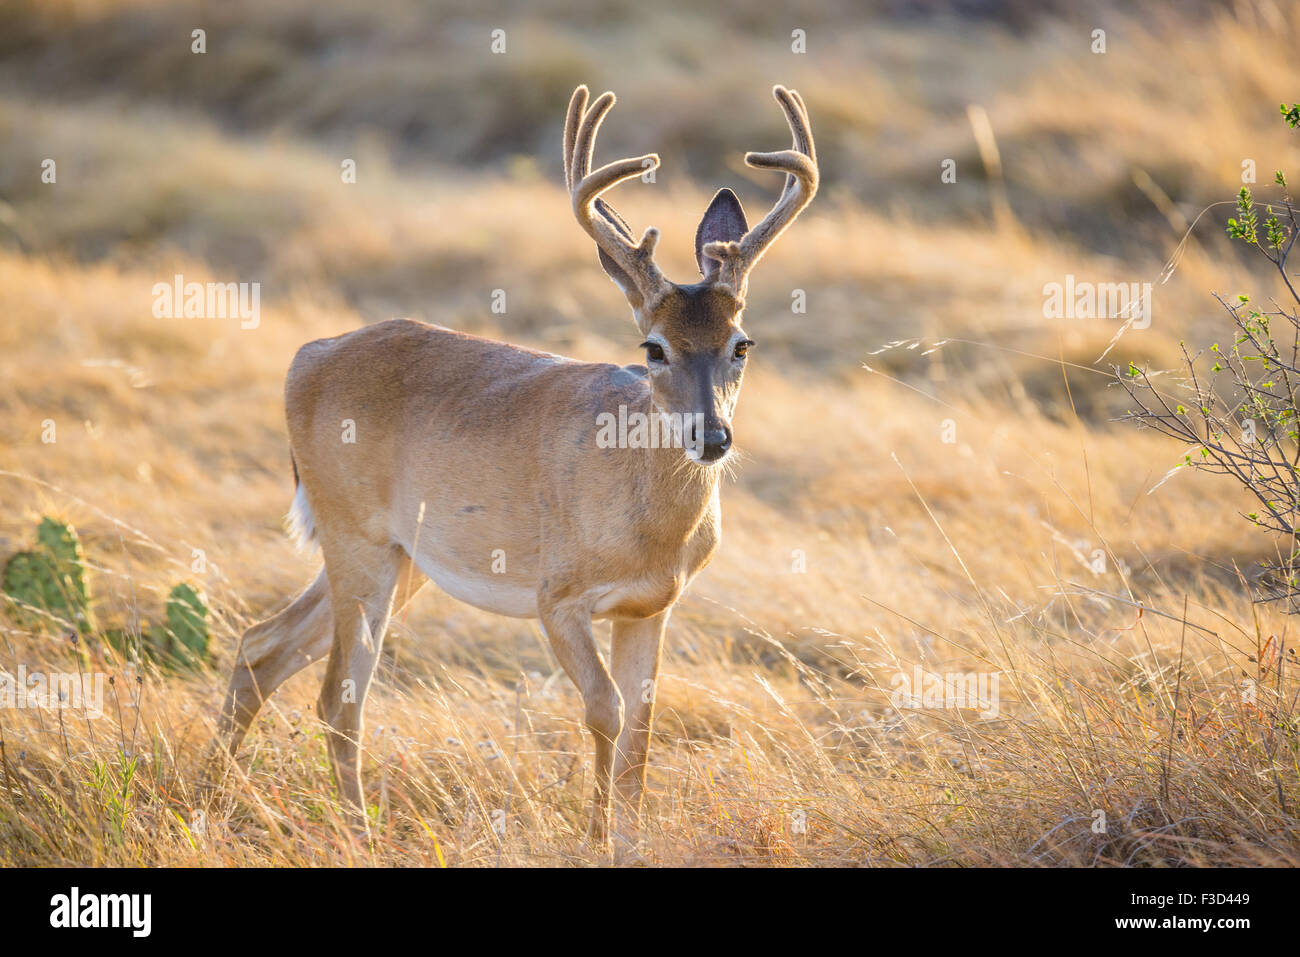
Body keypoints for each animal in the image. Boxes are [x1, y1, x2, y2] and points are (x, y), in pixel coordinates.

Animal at [210, 83, 818, 847]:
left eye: (742, 343)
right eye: (652, 348)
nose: (712, 436)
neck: (647, 521)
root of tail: (305, 357)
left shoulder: (654, 604)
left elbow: (643, 729)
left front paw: (628, 840)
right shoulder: (556, 596)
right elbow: (605, 710)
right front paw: (595, 840)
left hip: (403, 557)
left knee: (262, 645)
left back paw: (206, 798)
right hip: (356, 536)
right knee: (336, 696)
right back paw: (357, 834)